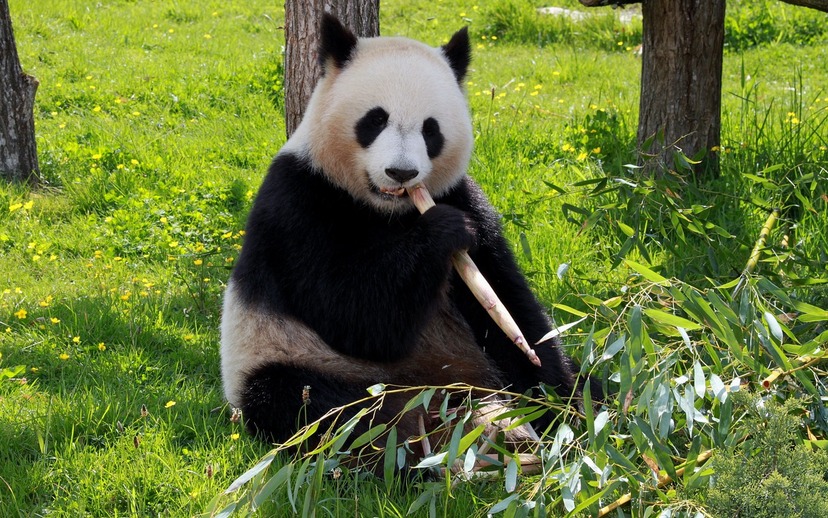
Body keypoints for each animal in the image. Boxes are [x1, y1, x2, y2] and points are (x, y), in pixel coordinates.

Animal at [220, 14, 594, 458]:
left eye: (430, 130)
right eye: (375, 120)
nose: (401, 172)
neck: (388, 210)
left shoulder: (462, 196)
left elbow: (507, 304)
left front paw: (556, 401)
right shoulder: (299, 202)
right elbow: (355, 315)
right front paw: (443, 231)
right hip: (290, 357)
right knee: (309, 406)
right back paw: (408, 446)